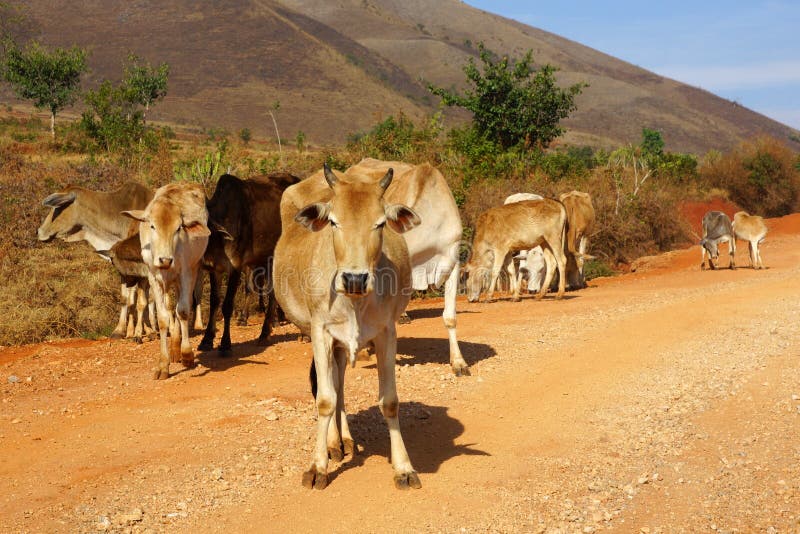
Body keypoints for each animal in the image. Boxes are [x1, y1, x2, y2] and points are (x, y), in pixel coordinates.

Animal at [37, 182, 161, 339]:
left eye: (58, 207)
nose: (39, 232)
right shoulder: (125, 271)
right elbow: (126, 298)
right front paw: (121, 330)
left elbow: (140, 299)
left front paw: (143, 330)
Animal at [122, 183, 210, 380]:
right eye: (152, 226)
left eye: (178, 228)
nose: (165, 260)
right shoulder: (153, 277)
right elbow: (163, 318)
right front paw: (163, 365)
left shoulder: (185, 273)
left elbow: (183, 311)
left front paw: (187, 355)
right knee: (171, 308)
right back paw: (174, 347)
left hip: (193, 269)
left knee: (182, 306)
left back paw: (179, 348)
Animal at [198, 172, 300, 355]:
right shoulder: (215, 269)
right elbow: (215, 301)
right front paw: (207, 340)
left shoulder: (236, 267)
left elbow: (227, 305)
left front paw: (225, 344)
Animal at [274, 164, 422, 490]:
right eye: (333, 221)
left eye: (380, 224)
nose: (355, 278)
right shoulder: (321, 333)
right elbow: (324, 399)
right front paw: (318, 467)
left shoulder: (387, 332)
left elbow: (390, 401)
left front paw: (404, 467)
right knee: (329, 385)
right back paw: (333, 444)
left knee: (339, 382)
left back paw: (344, 440)